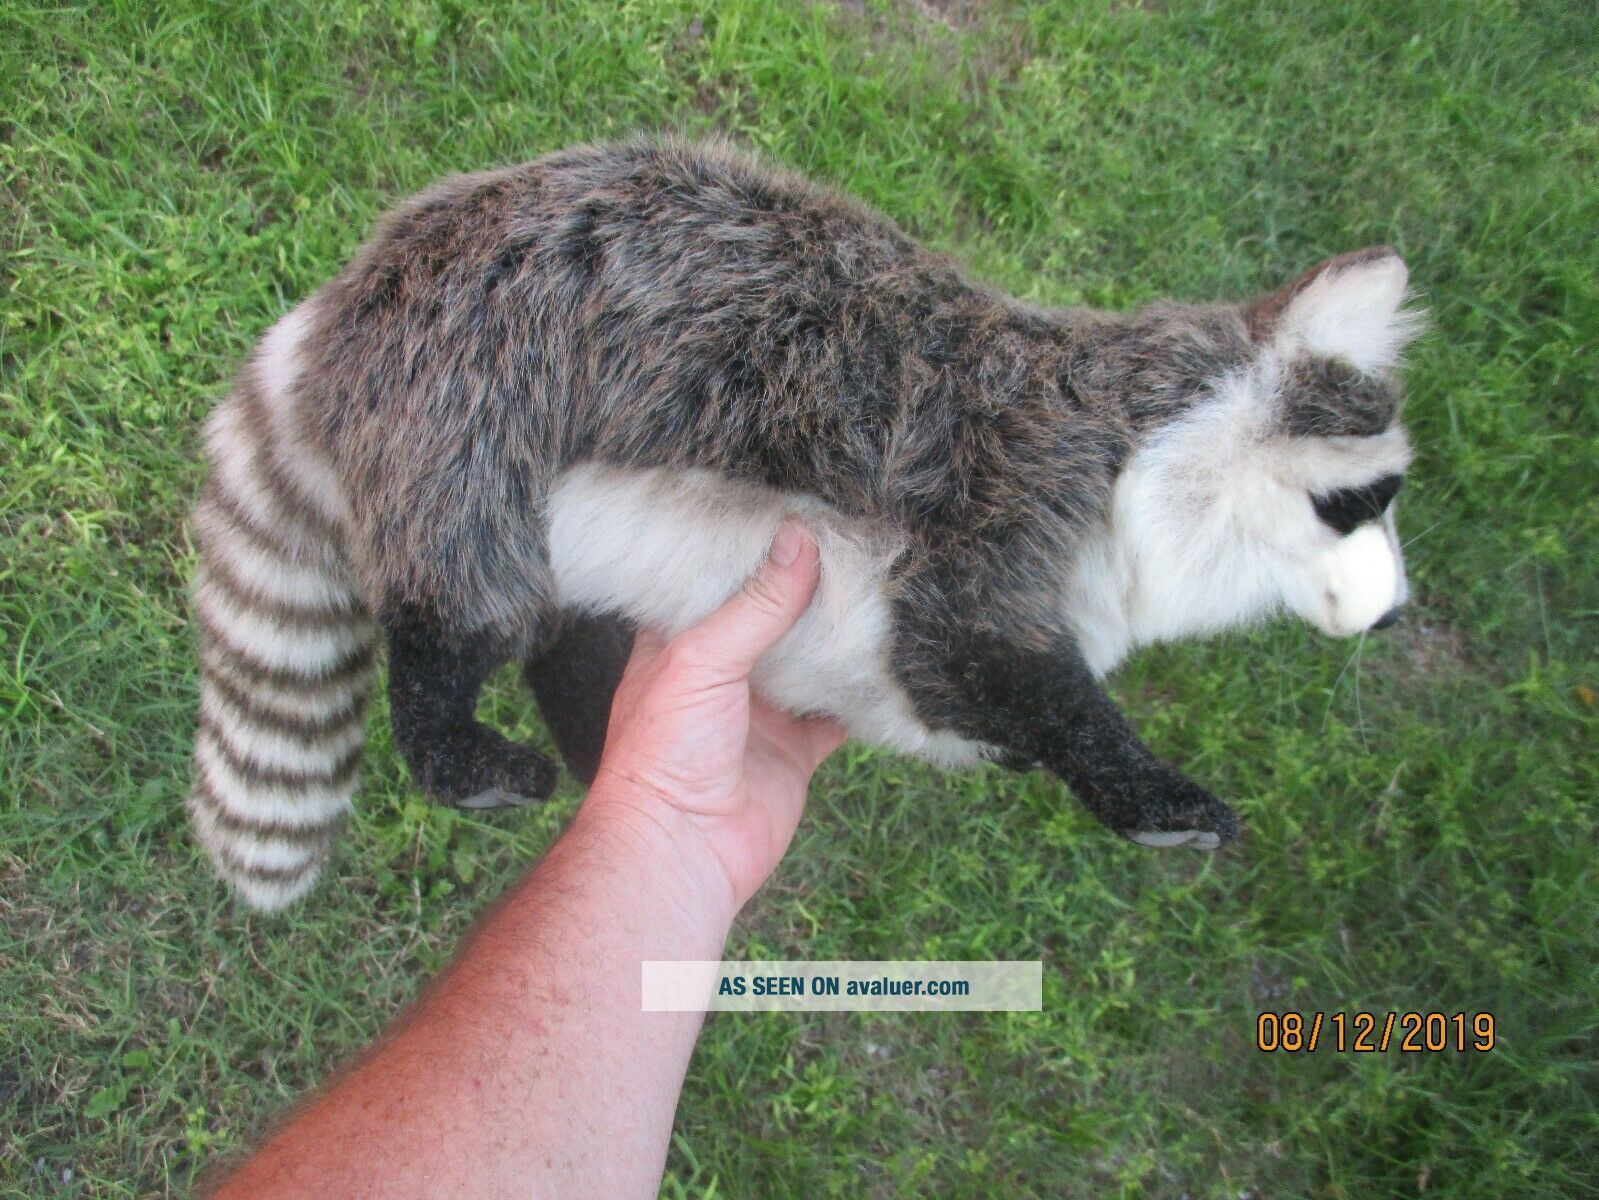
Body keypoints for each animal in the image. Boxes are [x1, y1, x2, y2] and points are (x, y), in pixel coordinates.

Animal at [187, 137, 1419, 909]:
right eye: (1357, 503)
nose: (1393, 617)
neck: (1147, 444)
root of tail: (354, 301)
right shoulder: (1016, 486)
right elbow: (958, 651)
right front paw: (1133, 777)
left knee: (560, 624)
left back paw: (591, 729)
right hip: (472, 397)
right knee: (470, 588)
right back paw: (447, 725)